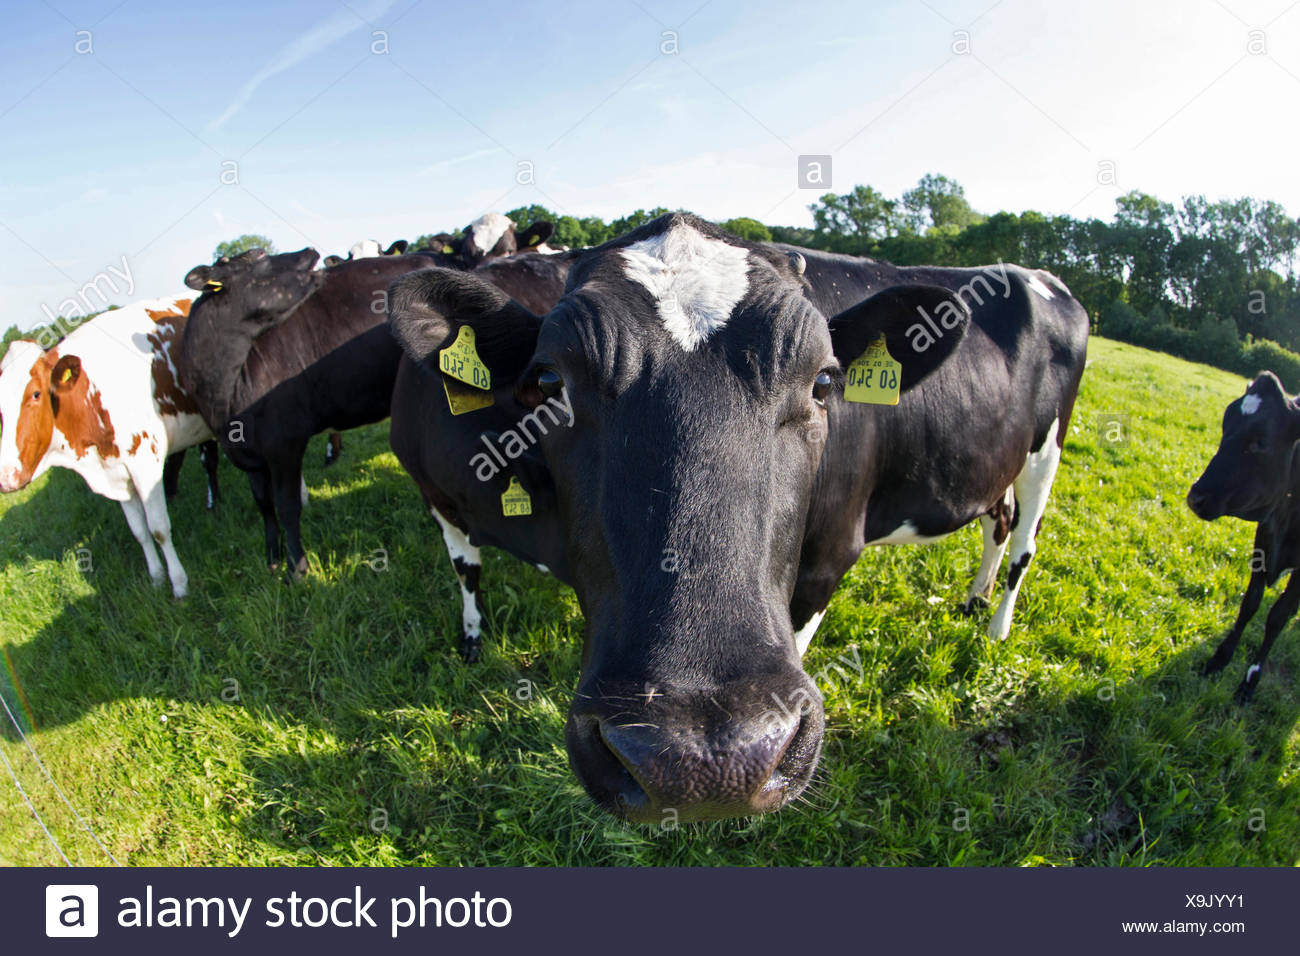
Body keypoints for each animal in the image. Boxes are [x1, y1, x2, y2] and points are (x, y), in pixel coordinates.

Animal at [0, 297, 217, 597]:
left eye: (35, 394)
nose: (6, 477)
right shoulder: (116, 473)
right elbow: (140, 532)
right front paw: (156, 578)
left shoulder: (145, 466)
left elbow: (159, 529)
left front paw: (180, 585)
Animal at [1187, 371, 1300, 702]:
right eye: (1226, 425)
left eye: (1260, 442)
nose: (1195, 497)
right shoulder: (1264, 541)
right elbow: (1250, 604)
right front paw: (1219, 659)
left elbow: (1277, 616)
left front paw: (1250, 681)